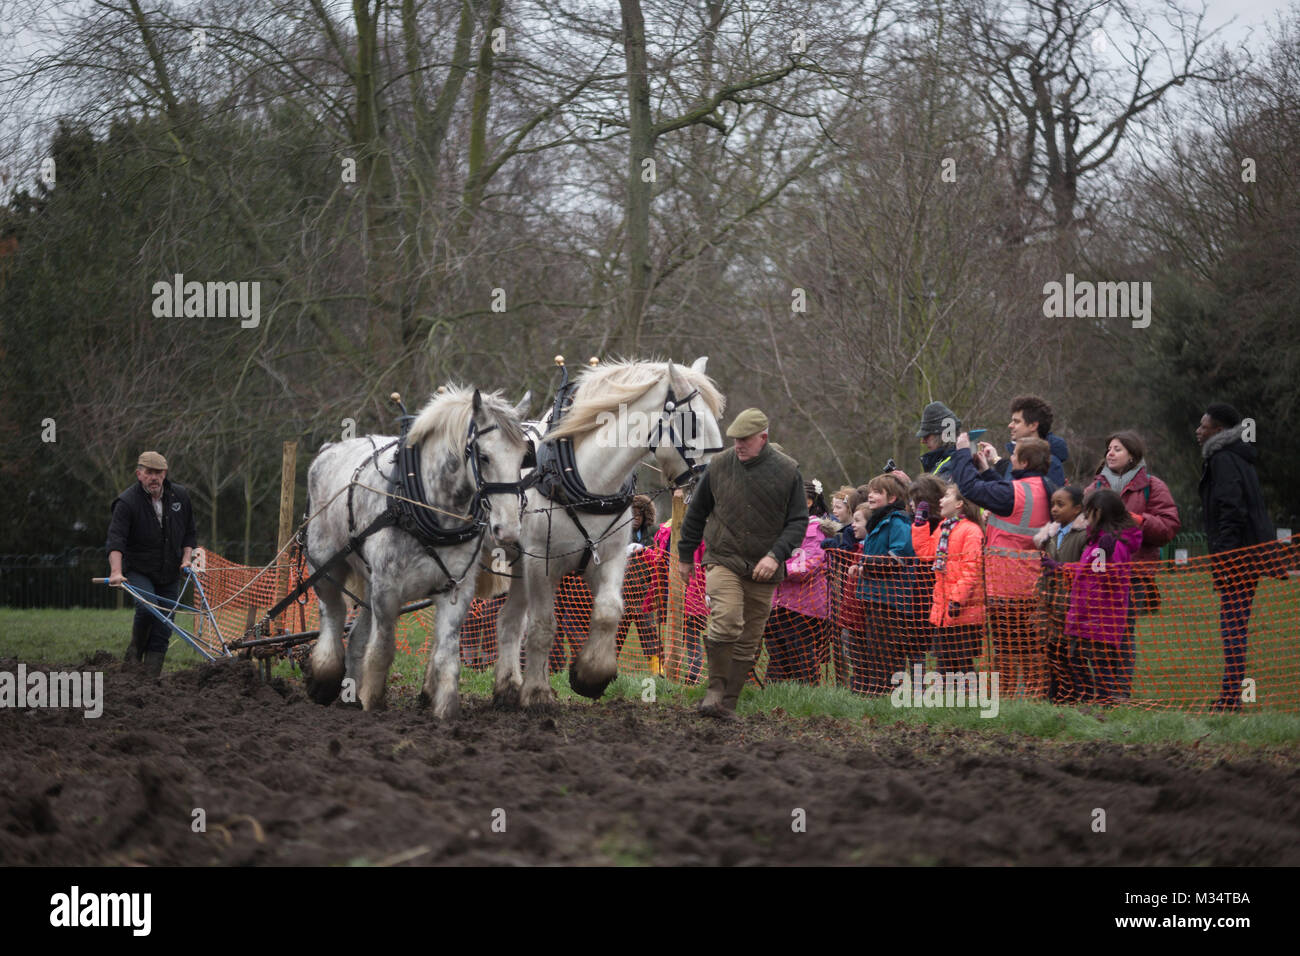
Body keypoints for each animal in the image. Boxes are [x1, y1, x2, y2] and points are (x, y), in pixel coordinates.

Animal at [303, 386, 530, 718]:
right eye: (484, 456)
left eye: (523, 458)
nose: (509, 530)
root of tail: (328, 450)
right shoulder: (387, 591)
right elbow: (383, 649)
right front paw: (374, 703)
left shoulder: (456, 588)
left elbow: (447, 654)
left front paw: (445, 710)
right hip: (325, 567)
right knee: (333, 616)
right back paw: (325, 677)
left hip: (368, 580)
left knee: (356, 636)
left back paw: (351, 692)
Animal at [492, 358, 725, 710]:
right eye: (695, 424)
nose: (712, 485)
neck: (589, 481)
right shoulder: (540, 564)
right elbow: (543, 627)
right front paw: (538, 692)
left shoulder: (612, 557)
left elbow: (608, 612)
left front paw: (590, 676)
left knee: (509, 622)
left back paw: (506, 686)